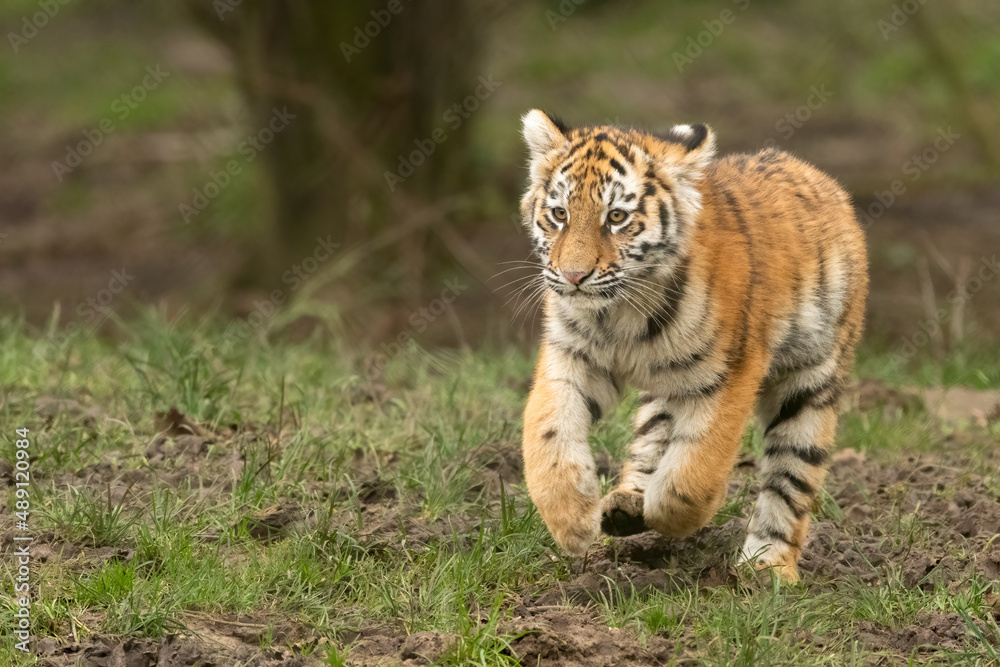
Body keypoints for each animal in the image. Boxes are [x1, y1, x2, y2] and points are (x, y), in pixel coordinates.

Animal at [517, 109, 868, 581]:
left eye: (616, 217)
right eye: (559, 214)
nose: (573, 276)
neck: (621, 314)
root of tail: (820, 178)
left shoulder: (732, 372)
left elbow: (696, 467)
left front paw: (675, 515)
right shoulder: (571, 356)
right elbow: (547, 432)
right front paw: (572, 522)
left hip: (810, 383)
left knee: (790, 478)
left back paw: (768, 566)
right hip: (669, 385)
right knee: (654, 433)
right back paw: (626, 505)